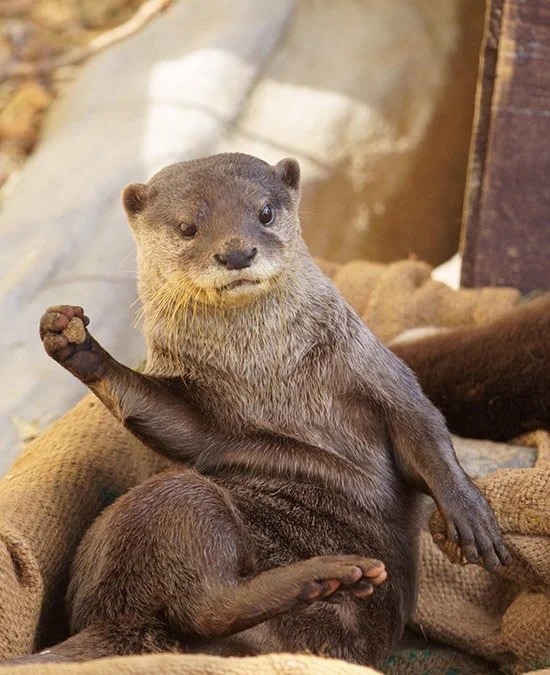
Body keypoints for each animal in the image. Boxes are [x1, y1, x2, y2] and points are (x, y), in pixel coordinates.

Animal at [25, 154, 509, 667]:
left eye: (265, 213)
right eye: (187, 227)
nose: (236, 253)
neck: (266, 368)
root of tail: (117, 620)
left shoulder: (375, 372)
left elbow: (424, 426)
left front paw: (472, 520)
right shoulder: (206, 412)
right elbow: (175, 424)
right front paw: (74, 344)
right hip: (175, 501)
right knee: (207, 604)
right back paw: (331, 575)